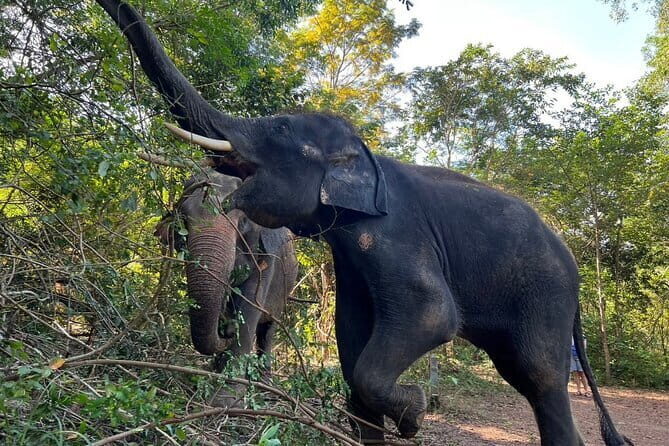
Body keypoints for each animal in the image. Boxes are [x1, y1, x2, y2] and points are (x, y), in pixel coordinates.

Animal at [155, 167, 298, 380]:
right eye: (184, 219)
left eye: (243, 221)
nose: (227, 330)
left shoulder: (268, 258)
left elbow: (249, 309)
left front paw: (228, 389)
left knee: (267, 329)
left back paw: (264, 380)